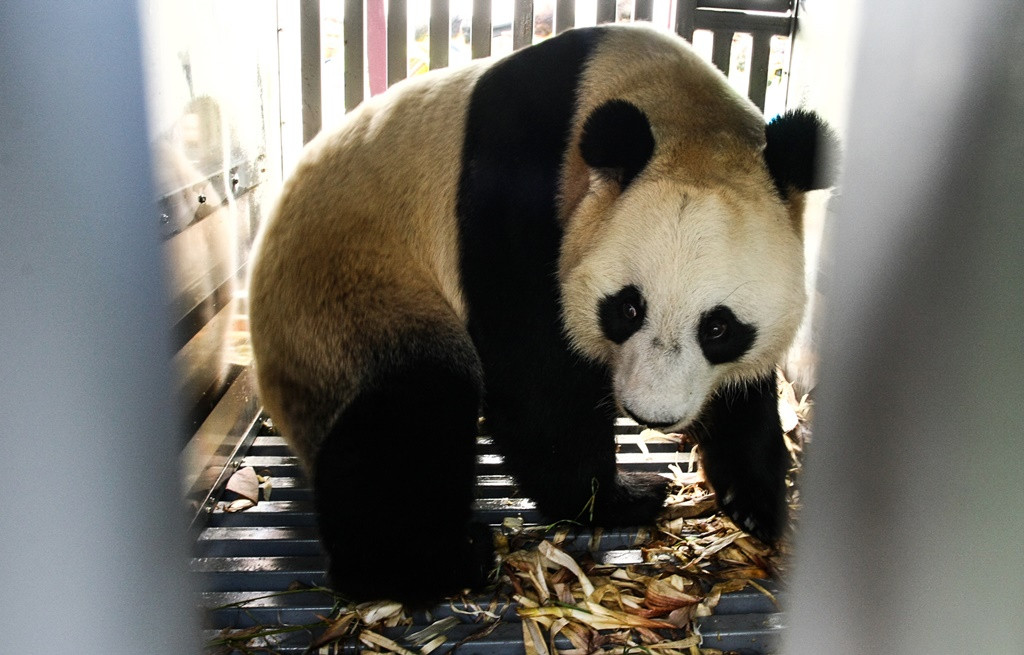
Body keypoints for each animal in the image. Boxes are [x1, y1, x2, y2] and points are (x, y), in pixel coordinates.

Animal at [249, 23, 837, 605]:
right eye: (627, 308)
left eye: (718, 328)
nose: (652, 415)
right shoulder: (517, 194)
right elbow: (534, 376)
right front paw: (622, 496)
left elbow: (745, 398)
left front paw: (759, 504)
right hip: (353, 296)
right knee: (410, 411)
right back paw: (430, 564)